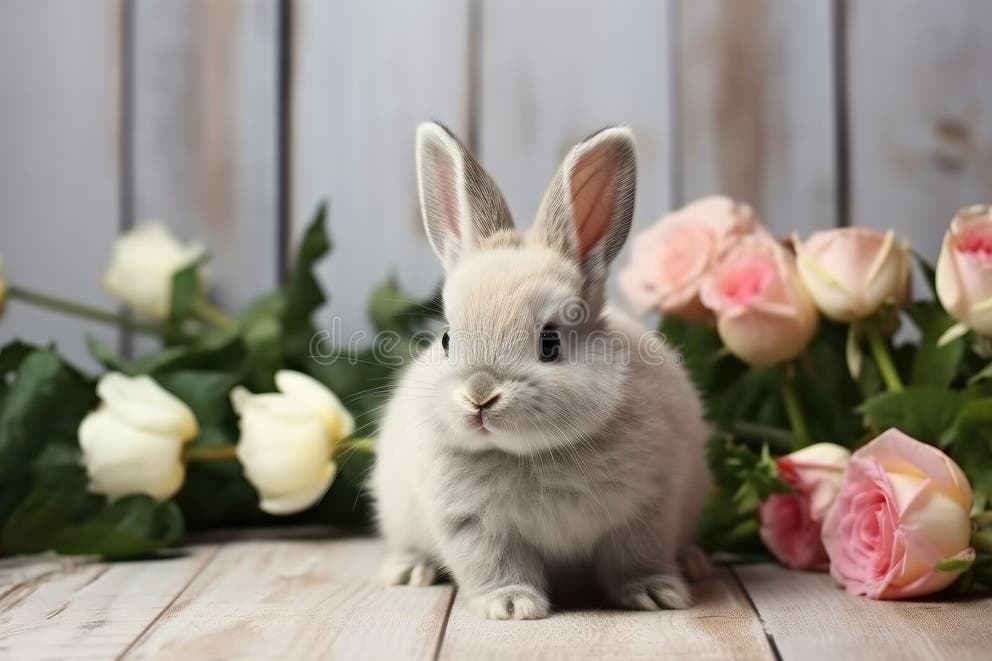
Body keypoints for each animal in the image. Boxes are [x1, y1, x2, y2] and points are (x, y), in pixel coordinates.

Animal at [371, 121, 712, 620]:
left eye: (549, 342)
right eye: (447, 339)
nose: (479, 395)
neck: (531, 453)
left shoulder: (649, 511)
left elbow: (637, 560)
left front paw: (657, 595)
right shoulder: (472, 526)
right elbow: (496, 567)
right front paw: (513, 606)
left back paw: (694, 562)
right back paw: (408, 571)